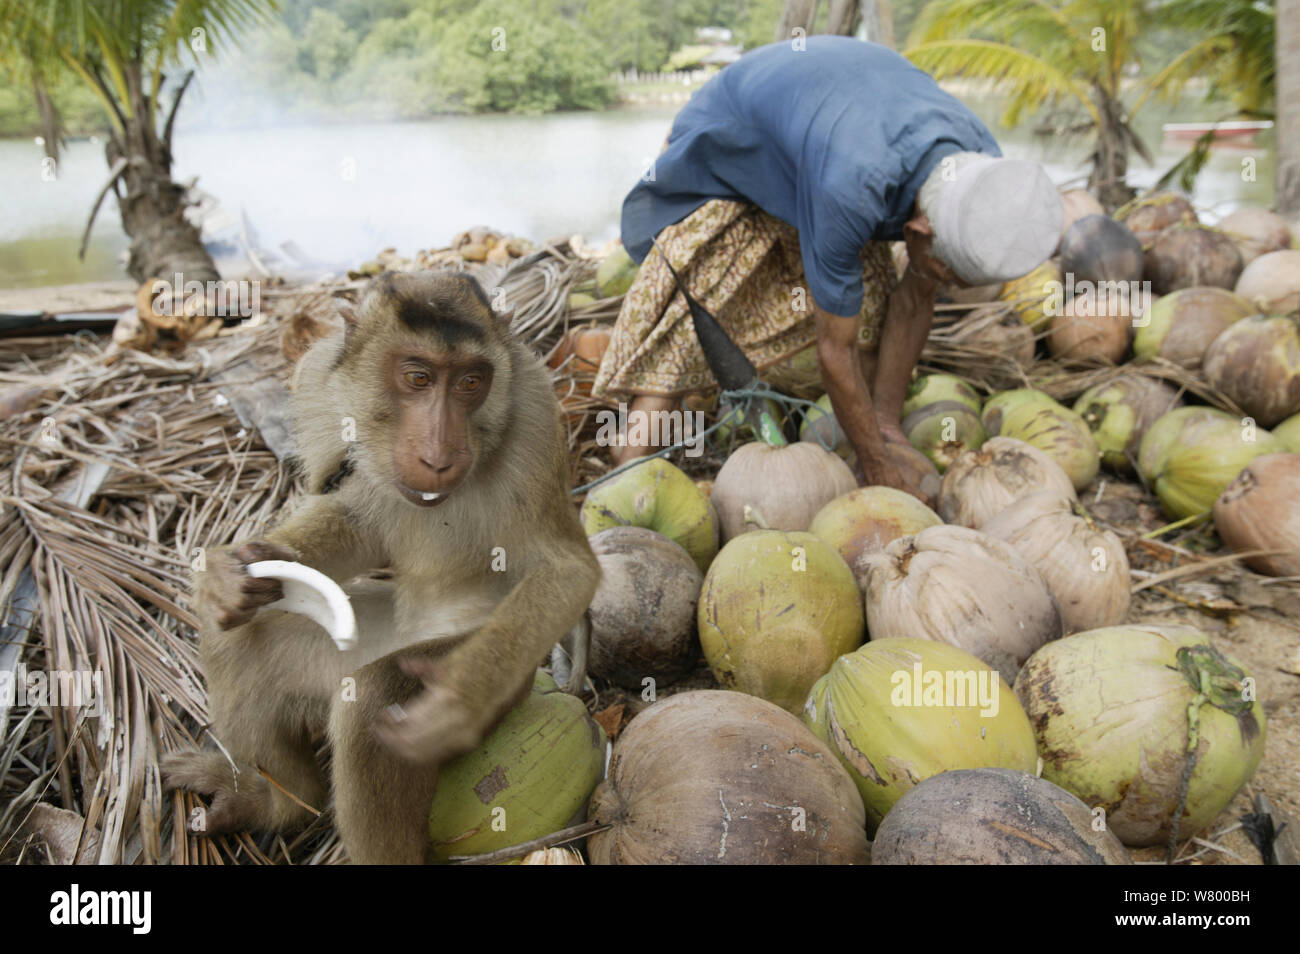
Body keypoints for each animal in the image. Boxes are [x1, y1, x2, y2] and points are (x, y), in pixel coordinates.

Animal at [163, 271, 601, 864]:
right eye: (417, 378)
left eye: (471, 383)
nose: (439, 453)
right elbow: (356, 521)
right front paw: (234, 571)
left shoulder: (535, 416)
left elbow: (567, 569)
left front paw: (460, 699)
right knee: (246, 640)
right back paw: (275, 803)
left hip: (496, 669)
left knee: (370, 701)